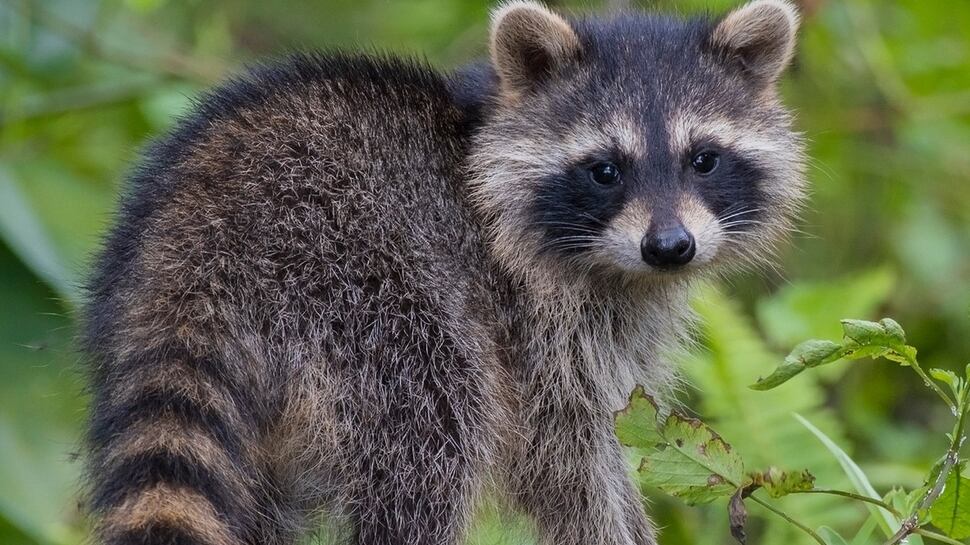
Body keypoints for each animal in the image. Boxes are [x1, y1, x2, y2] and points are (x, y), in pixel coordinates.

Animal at [81, 2, 805, 545]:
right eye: (605, 170)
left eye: (703, 159)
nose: (671, 247)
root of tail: (201, 233)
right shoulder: (533, 317)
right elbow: (565, 460)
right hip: (369, 295)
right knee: (432, 442)